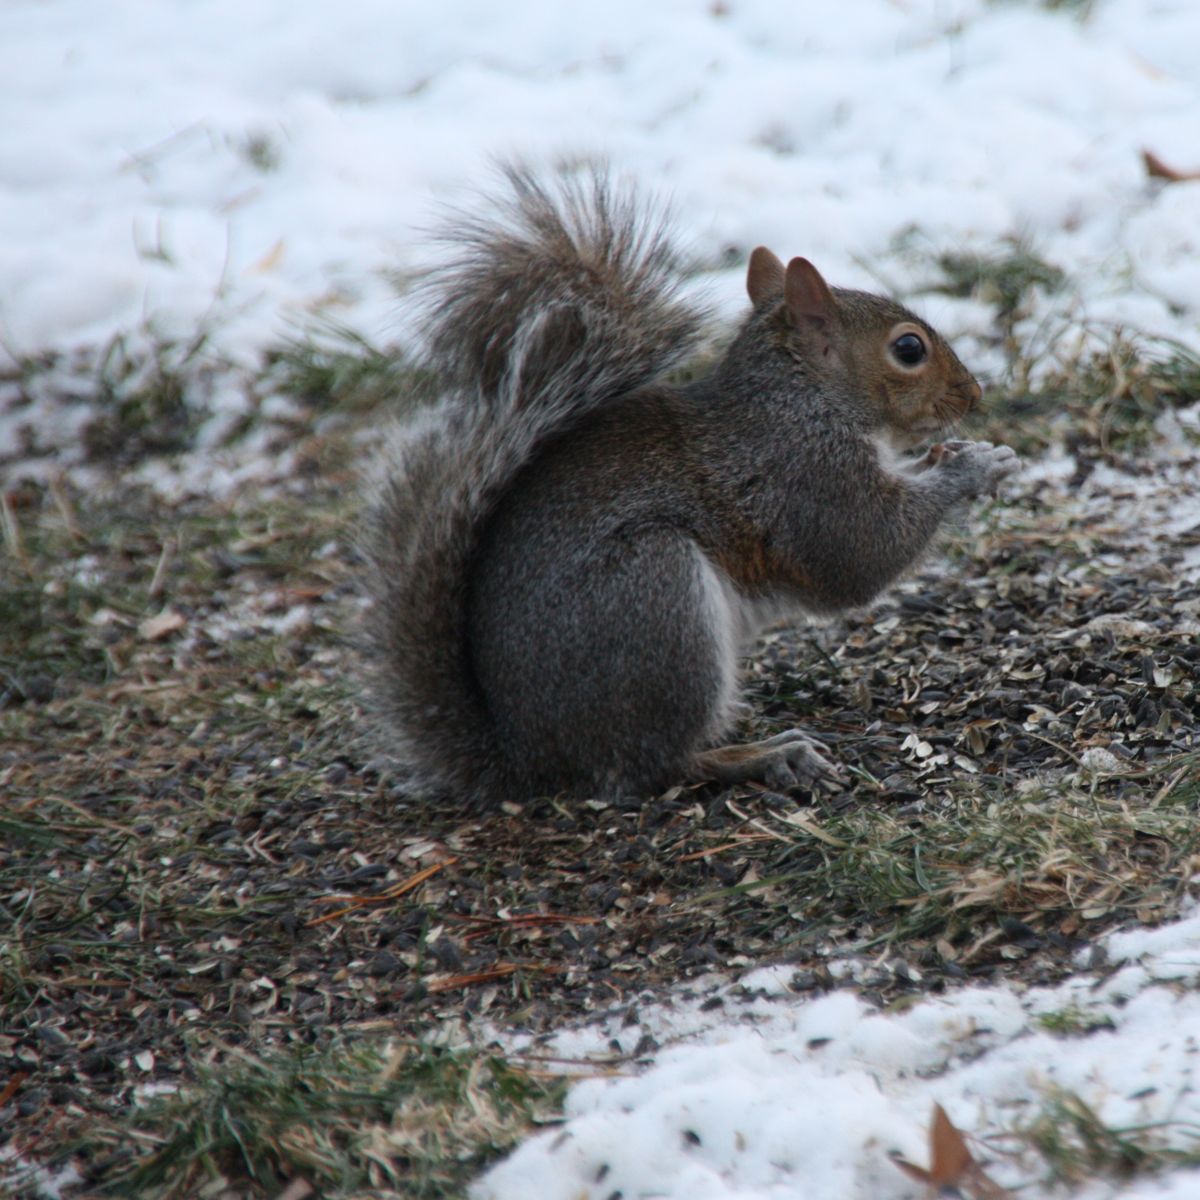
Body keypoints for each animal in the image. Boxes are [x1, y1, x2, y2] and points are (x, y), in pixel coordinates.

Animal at [363, 163, 1018, 806]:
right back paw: (765, 756)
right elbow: (861, 555)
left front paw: (962, 455)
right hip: (656, 600)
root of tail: (530, 757)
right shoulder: (805, 476)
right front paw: (973, 468)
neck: (803, 401)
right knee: (654, 765)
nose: (975, 394)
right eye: (909, 349)